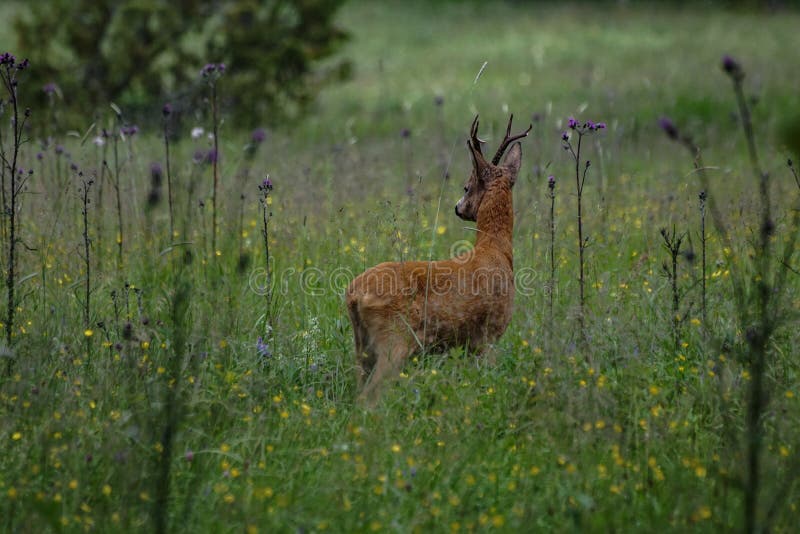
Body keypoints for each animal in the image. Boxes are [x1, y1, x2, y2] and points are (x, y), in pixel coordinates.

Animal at [346, 114, 531, 404]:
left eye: (466, 186)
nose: (457, 207)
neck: (495, 250)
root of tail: (352, 293)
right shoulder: (489, 334)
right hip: (394, 340)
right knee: (370, 395)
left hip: (362, 344)